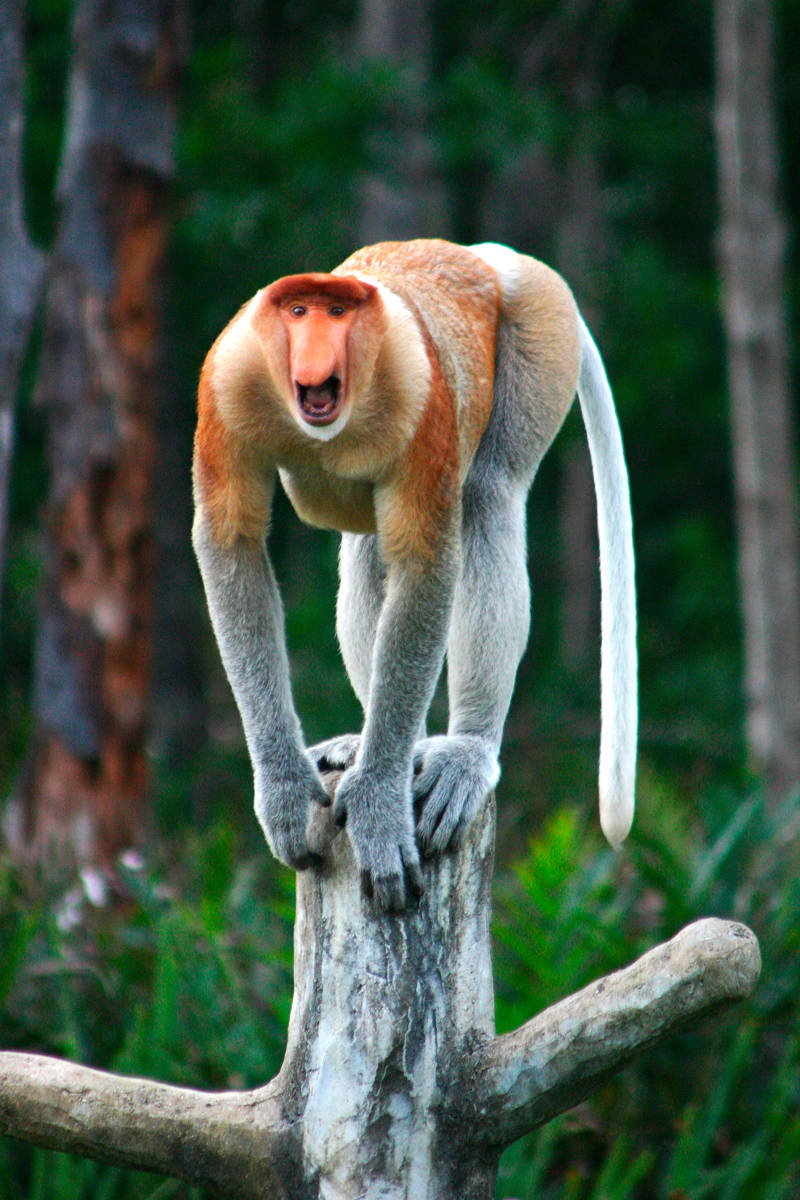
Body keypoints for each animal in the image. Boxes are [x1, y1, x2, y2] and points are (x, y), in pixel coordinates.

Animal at [192, 239, 637, 911]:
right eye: (298, 311)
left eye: (337, 312)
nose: (317, 348)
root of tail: (487, 256)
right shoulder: (228, 379)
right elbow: (231, 543)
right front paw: (286, 791)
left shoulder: (418, 391)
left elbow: (426, 560)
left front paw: (378, 805)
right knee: (368, 548)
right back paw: (376, 744)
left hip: (542, 324)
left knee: (487, 495)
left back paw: (460, 754)